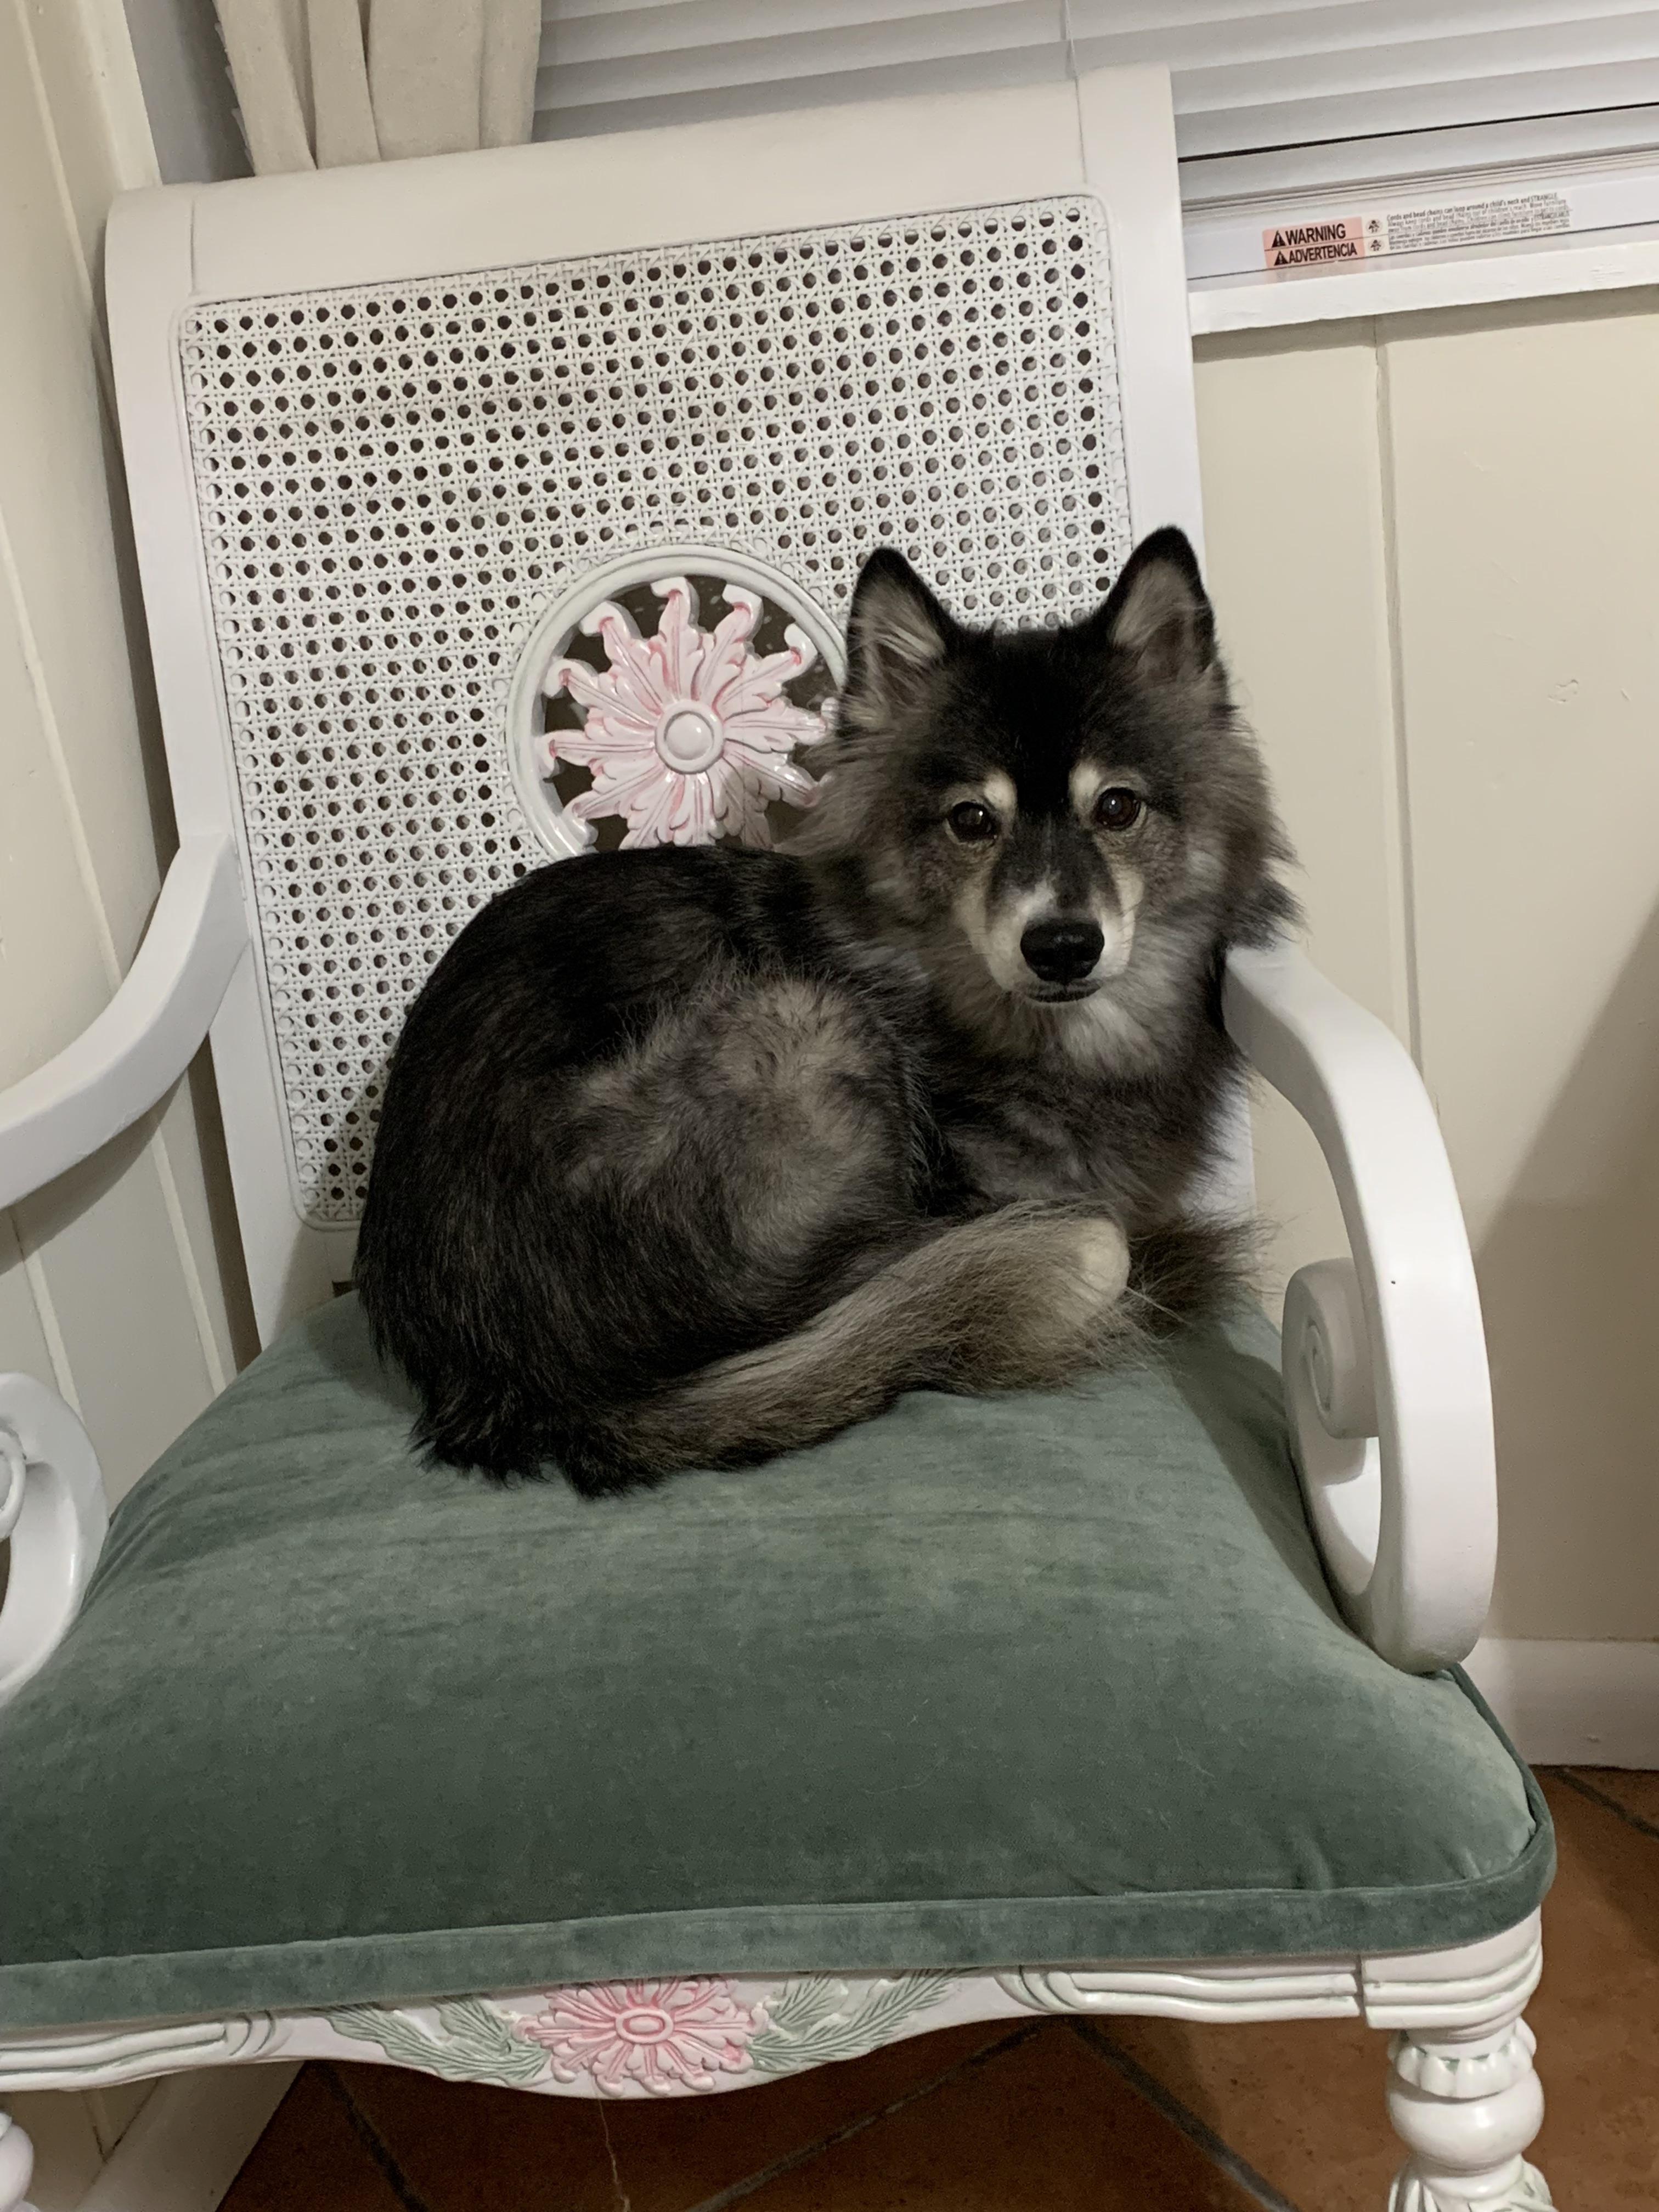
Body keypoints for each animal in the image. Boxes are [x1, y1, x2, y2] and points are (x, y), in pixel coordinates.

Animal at [354, 527, 1295, 1491]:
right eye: (970, 821)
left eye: (1117, 806)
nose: (1064, 946)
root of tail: (515, 1387)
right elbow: (1096, 1241)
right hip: (806, 1027)